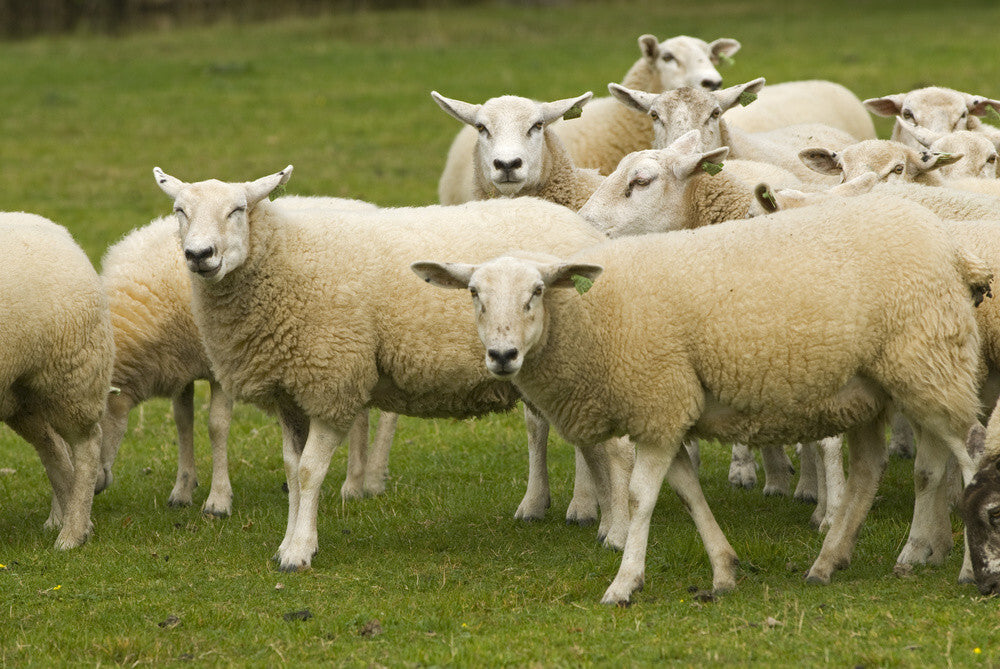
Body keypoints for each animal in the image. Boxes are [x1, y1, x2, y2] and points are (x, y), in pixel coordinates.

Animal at [0, 212, 115, 549]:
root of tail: (60, 231)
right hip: (19, 394)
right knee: (54, 450)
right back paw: (75, 521)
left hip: (72, 376)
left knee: (86, 446)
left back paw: (73, 533)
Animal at [152, 166, 632, 571]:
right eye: (180, 211)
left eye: (237, 210)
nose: (199, 254)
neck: (285, 258)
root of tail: (581, 225)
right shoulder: (290, 393)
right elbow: (292, 470)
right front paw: (290, 541)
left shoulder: (332, 381)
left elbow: (309, 471)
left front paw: (299, 551)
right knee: (590, 444)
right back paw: (597, 518)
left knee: (609, 448)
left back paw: (613, 529)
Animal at [416, 192, 987, 603]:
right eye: (473, 294)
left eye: (536, 292)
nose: (502, 355)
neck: (590, 319)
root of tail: (950, 247)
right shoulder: (667, 413)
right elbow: (689, 494)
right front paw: (724, 572)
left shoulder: (657, 402)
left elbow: (638, 498)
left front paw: (624, 583)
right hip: (873, 387)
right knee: (872, 470)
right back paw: (829, 562)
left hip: (927, 361)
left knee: (973, 455)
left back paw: (970, 570)